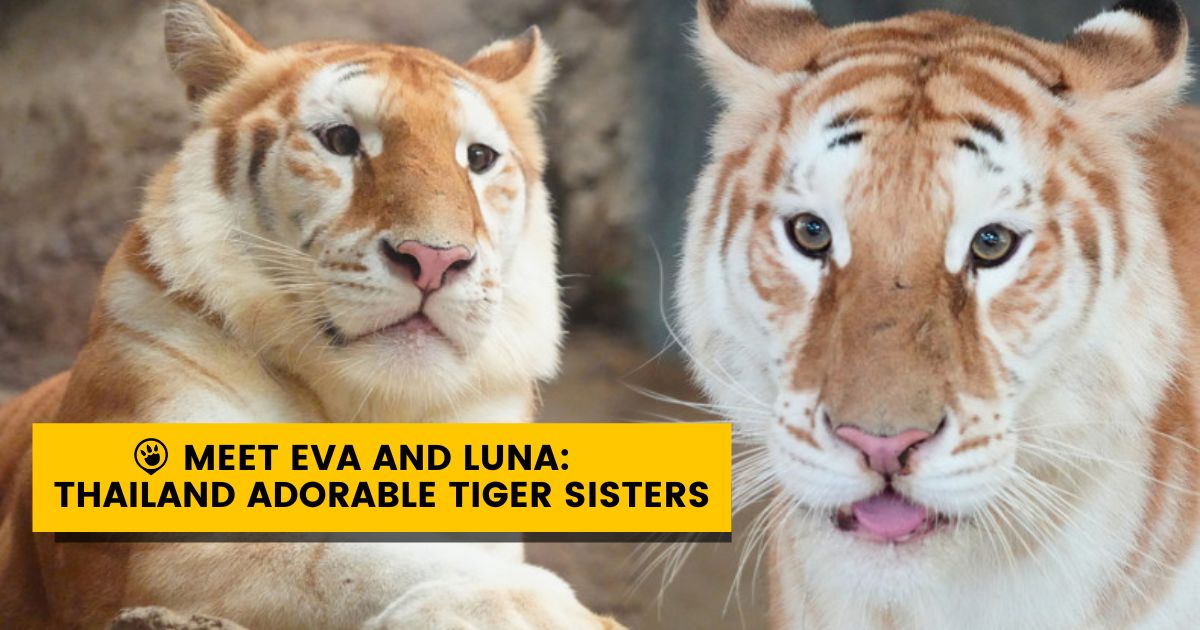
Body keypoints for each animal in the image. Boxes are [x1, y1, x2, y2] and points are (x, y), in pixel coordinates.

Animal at [0, 1, 621, 628]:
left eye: (478, 158)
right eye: (342, 139)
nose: (435, 260)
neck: (369, 408)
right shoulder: (154, 544)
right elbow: (344, 559)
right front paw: (536, 606)